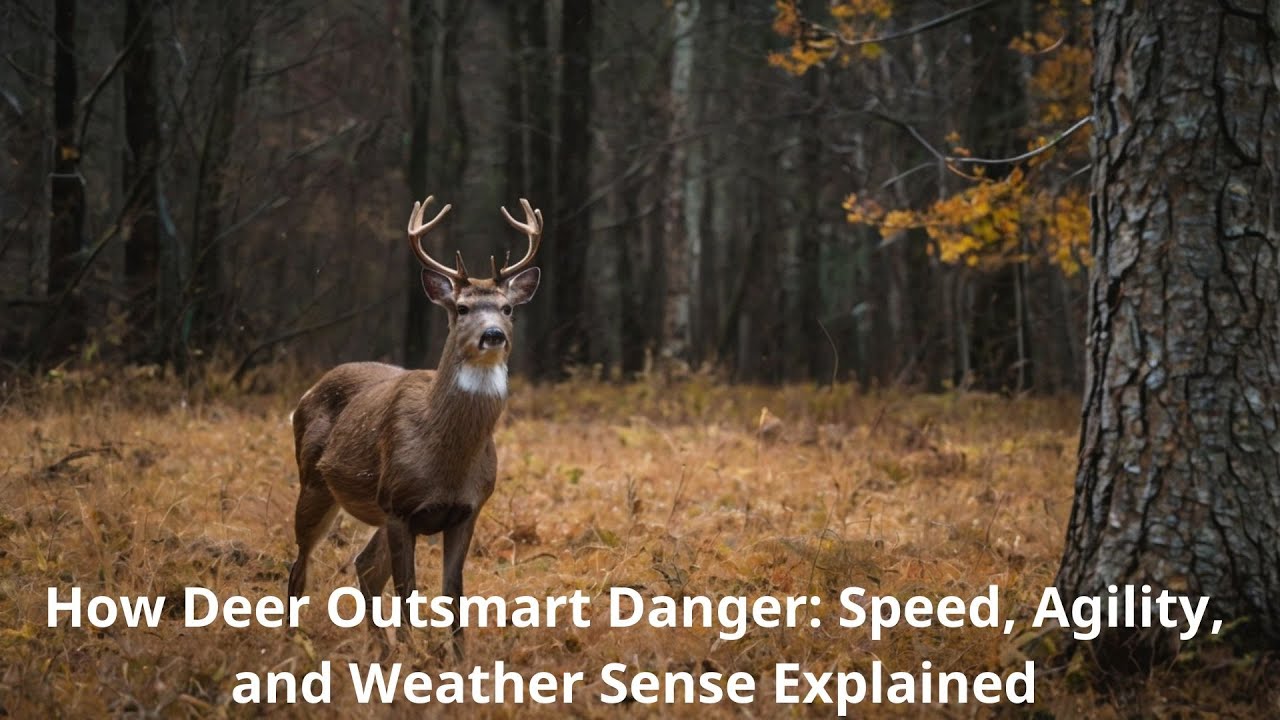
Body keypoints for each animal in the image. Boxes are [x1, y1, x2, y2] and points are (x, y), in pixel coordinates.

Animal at [286, 195, 541, 657]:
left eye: (507, 308)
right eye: (461, 308)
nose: (494, 335)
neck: (446, 463)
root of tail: (307, 392)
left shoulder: (467, 510)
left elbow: (452, 590)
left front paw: (455, 657)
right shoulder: (398, 506)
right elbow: (408, 587)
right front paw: (415, 652)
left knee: (365, 566)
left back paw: (381, 648)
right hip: (314, 482)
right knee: (301, 564)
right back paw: (292, 640)